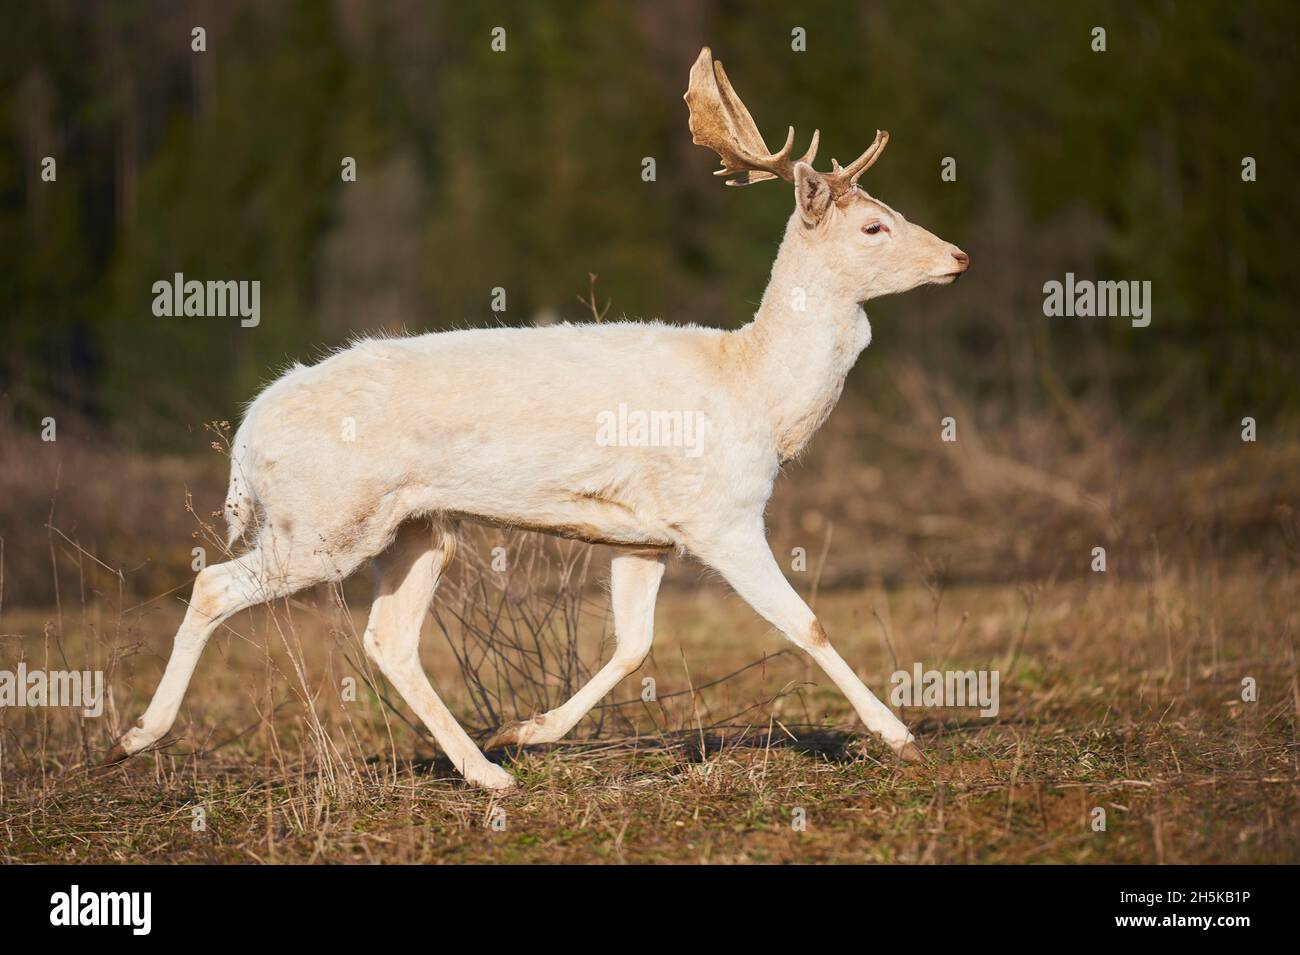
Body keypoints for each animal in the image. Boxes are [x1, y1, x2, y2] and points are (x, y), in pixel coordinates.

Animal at [105, 48, 968, 789]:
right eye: (875, 226)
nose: (957, 257)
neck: (756, 390)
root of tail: (247, 434)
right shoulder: (720, 515)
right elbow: (806, 624)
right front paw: (900, 737)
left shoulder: (646, 535)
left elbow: (634, 644)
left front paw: (526, 730)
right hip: (321, 522)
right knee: (213, 583)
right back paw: (134, 737)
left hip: (419, 526)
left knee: (388, 637)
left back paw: (487, 770)